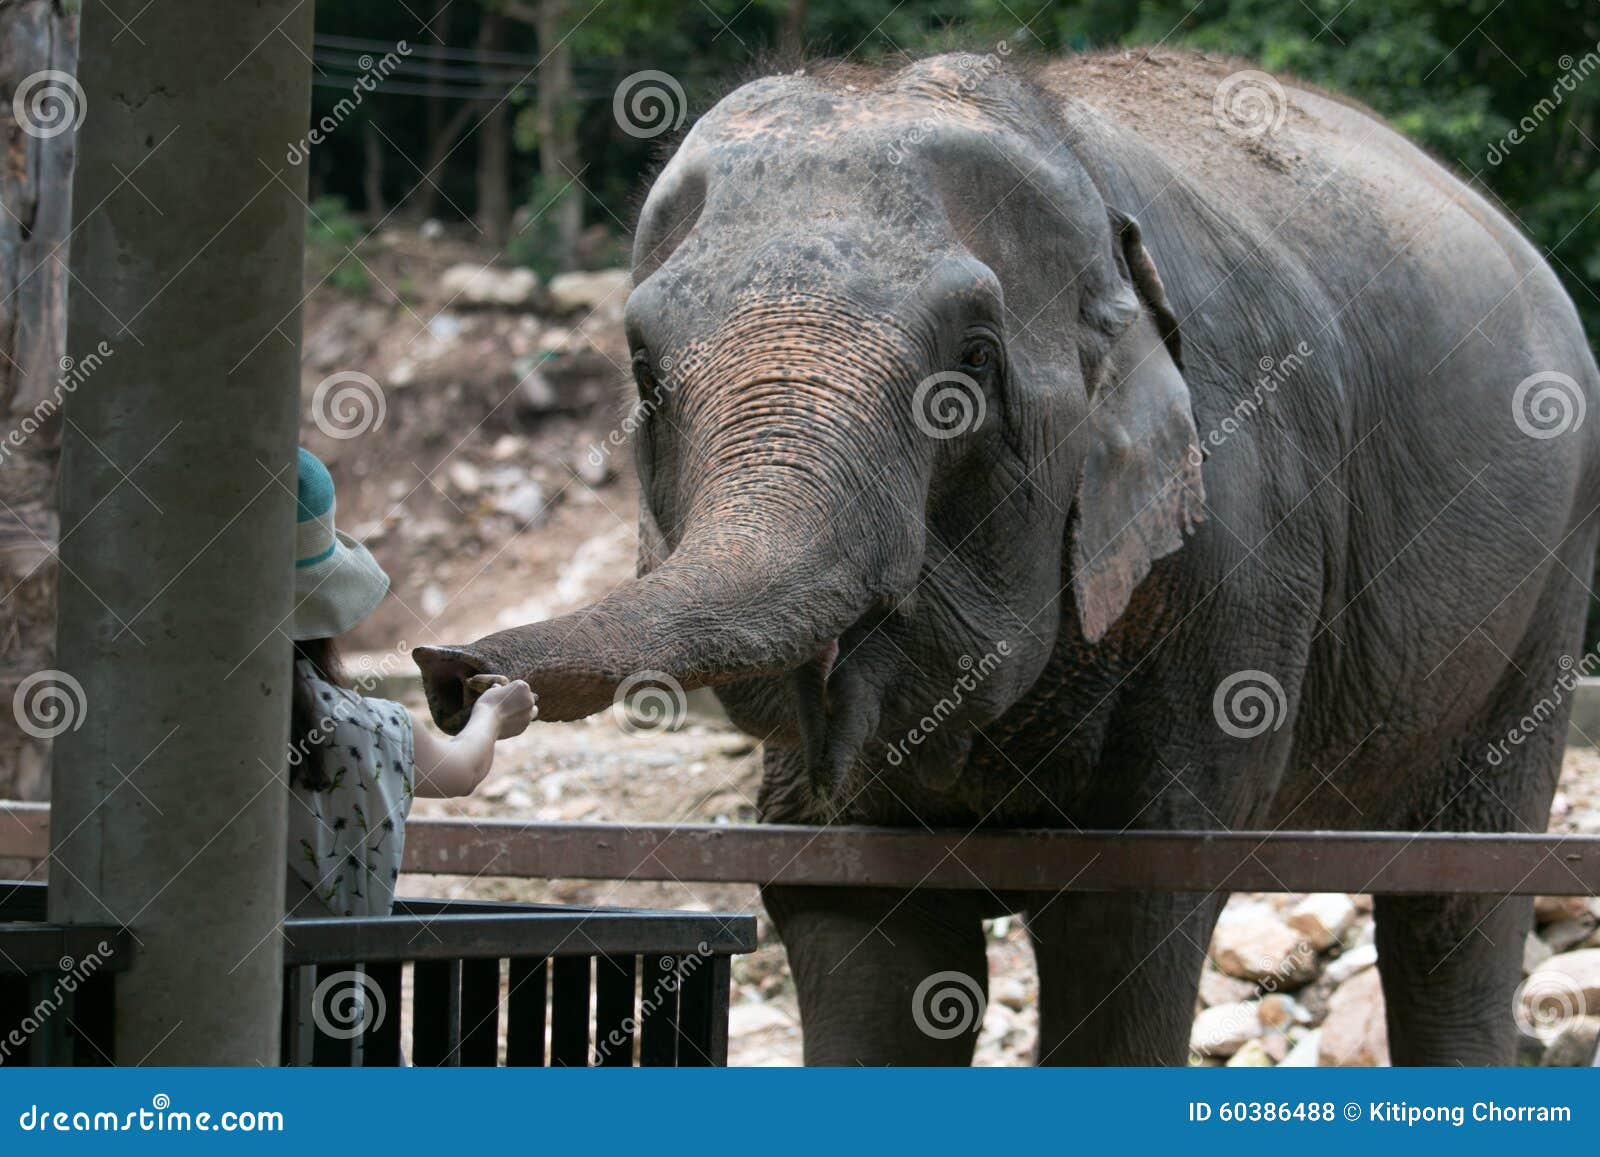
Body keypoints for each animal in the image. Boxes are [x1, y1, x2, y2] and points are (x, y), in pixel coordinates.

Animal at [417, 50, 1600, 1065]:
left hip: (1545, 598)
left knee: (1454, 903)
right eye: (644, 373)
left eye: (972, 367)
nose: (445, 672)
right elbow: (855, 915)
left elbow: (1128, 908)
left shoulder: (1246, 543)